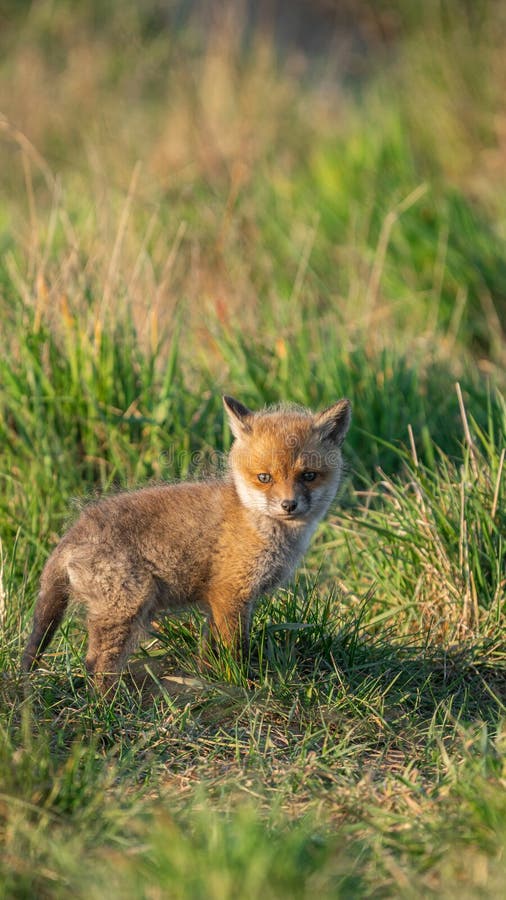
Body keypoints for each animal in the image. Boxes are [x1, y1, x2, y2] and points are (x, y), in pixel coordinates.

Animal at [22, 395, 351, 689]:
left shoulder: (218, 600)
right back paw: (110, 706)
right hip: (127, 609)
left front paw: (210, 677)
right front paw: (240, 684)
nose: (288, 505)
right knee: (96, 665)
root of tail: (74, 531)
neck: (254, 520)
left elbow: (210, 649)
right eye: (264, 477)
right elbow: (235, 650)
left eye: (308, 476)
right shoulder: (231, 594)